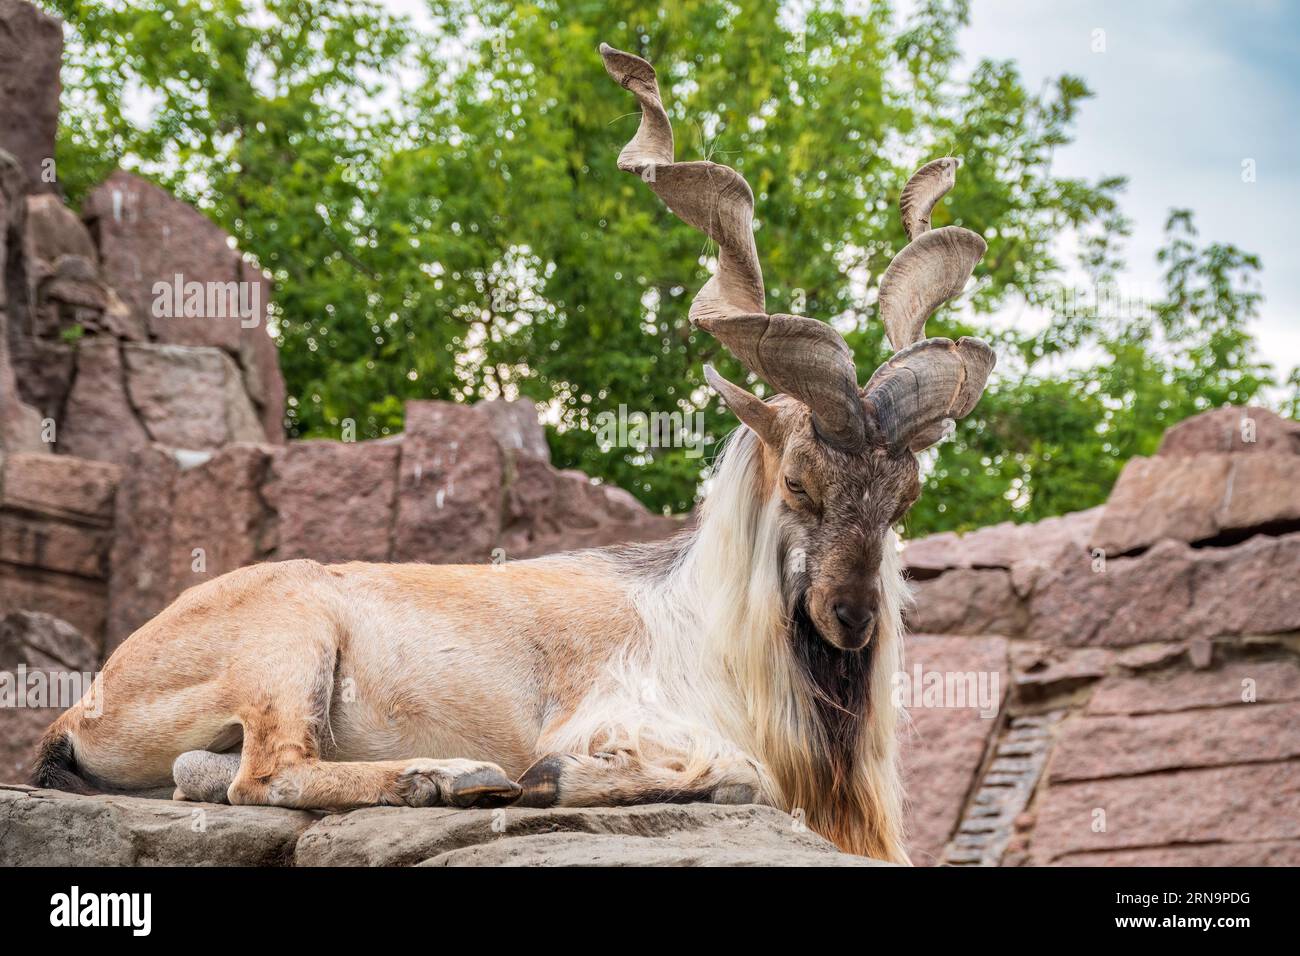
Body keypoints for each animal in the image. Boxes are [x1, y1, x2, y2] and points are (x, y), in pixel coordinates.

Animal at [32, 44, 993, 863]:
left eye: (904, 499)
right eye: (797, 481)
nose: (852, 617)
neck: (703, 620)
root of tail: (90, 699)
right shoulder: (622, 716)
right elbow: (733, 775)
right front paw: (549, 778)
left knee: (209, 774)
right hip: (289, 636)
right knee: (267, 772)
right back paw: (452, 776)